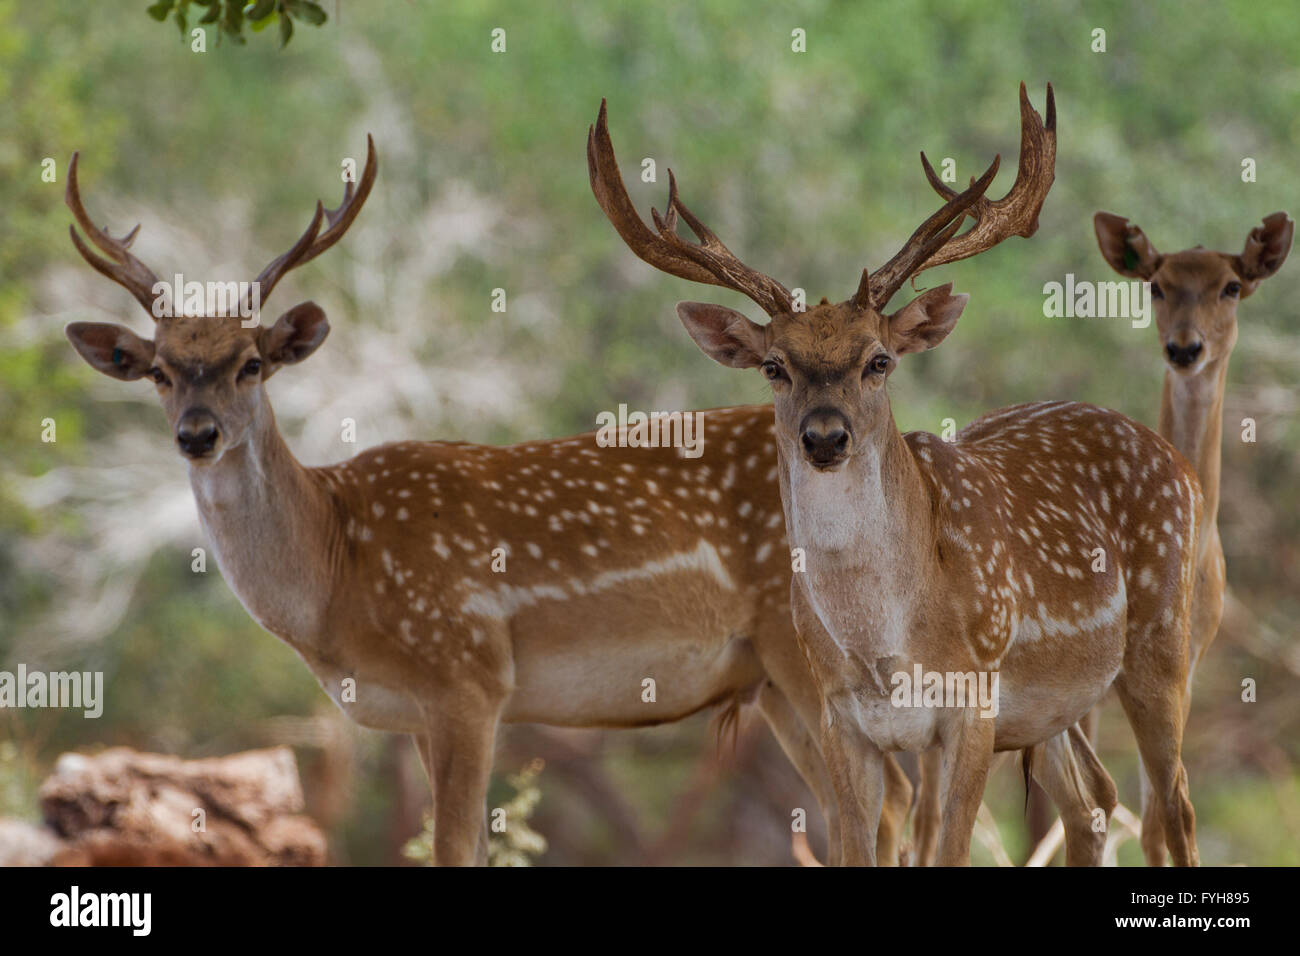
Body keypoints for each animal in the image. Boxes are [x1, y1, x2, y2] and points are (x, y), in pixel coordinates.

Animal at [59, 139, 919, 866]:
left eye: (249, 363)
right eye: (160, 371)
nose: (197, 434)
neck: (337, 576)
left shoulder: (466, 675)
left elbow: (454, 847)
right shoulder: (416, 710)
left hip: (800, 650)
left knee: (883, 802)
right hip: (769, 678)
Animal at [589, 84, 1204, 866]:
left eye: (877, 360)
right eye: (774, 366)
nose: (825, 435)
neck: (885, 646)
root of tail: (1176, 462)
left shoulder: (972, 704)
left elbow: (948, 848)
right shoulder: (840, 717)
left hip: (1165, 638)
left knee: (1175, 804)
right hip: (1054, 707)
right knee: (1093, 797)